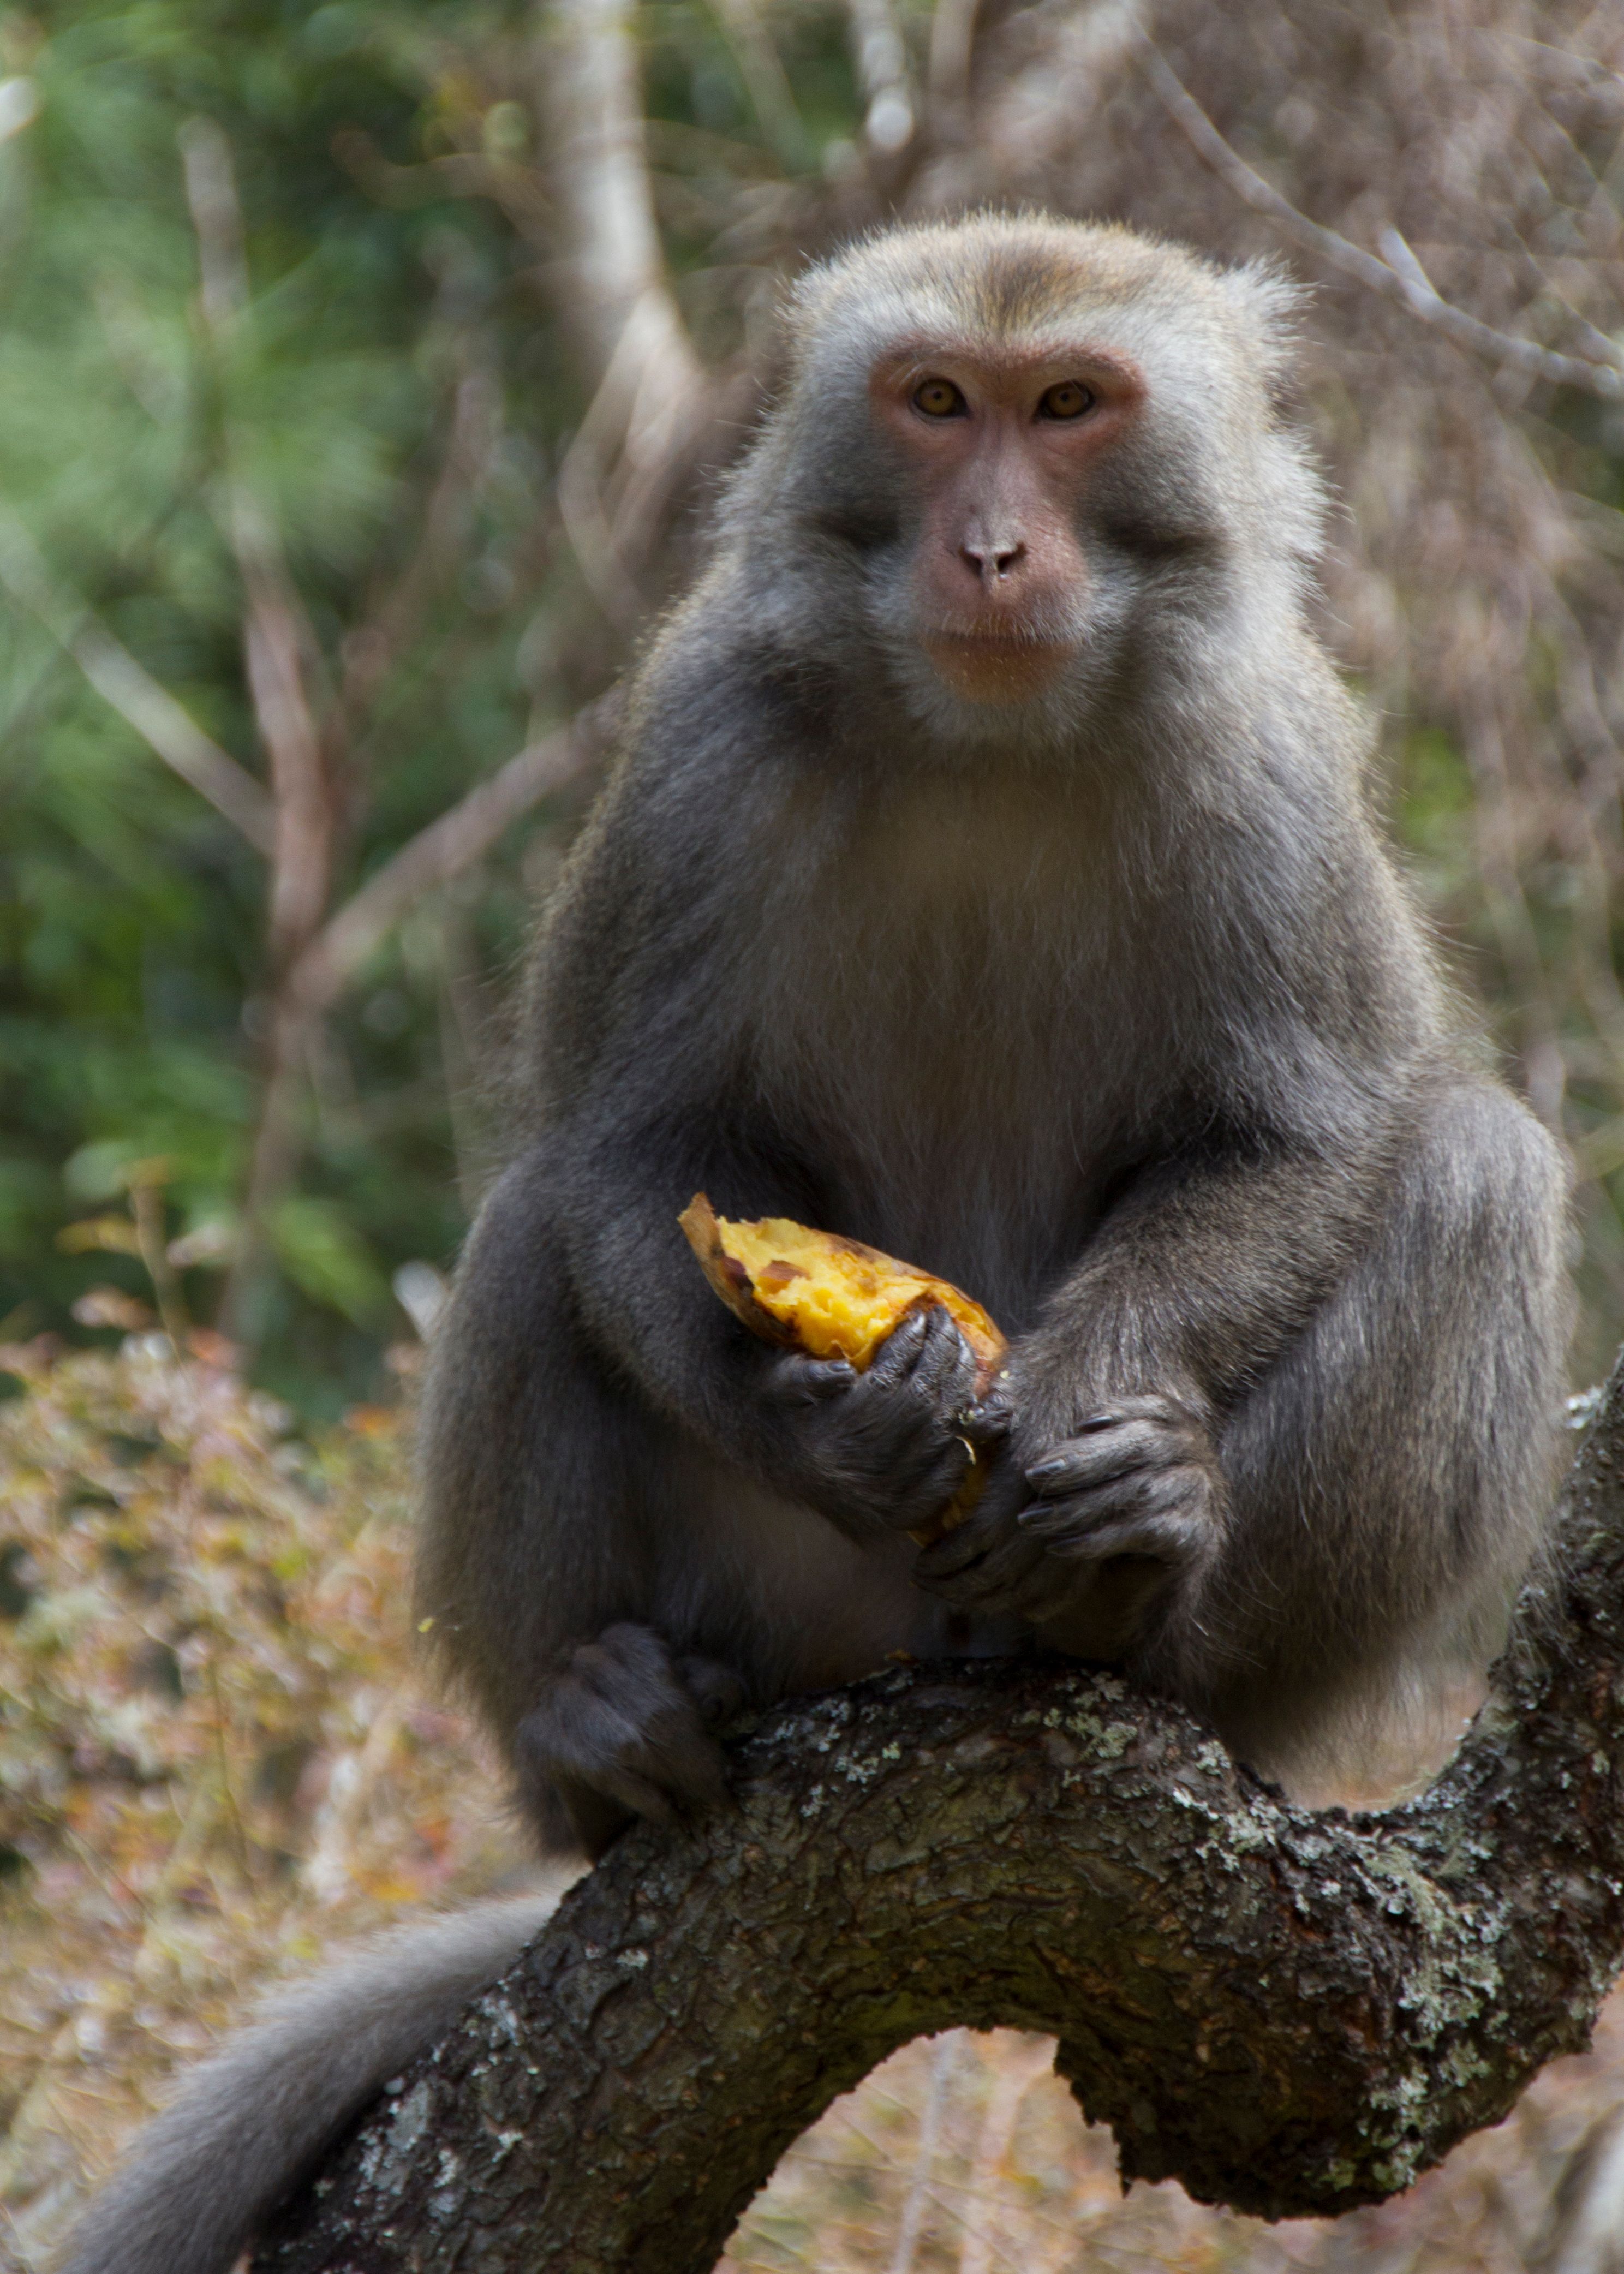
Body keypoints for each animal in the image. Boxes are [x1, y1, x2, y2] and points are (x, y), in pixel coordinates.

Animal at [59, 214, 1571, 2274]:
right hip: (768, 1607)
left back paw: (1134, 1600)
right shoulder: (697, 740)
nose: (990, 546)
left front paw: (1099, 1440)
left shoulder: (1265, 755)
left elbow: (1307, 1128)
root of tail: (885, 1652)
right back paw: (599, 1735)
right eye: (933, 401)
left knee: (1478, 1170)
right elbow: (628, 1141)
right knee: (534, 1226)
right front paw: (828, 1428)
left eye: (1067, 405)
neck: (991, 739)